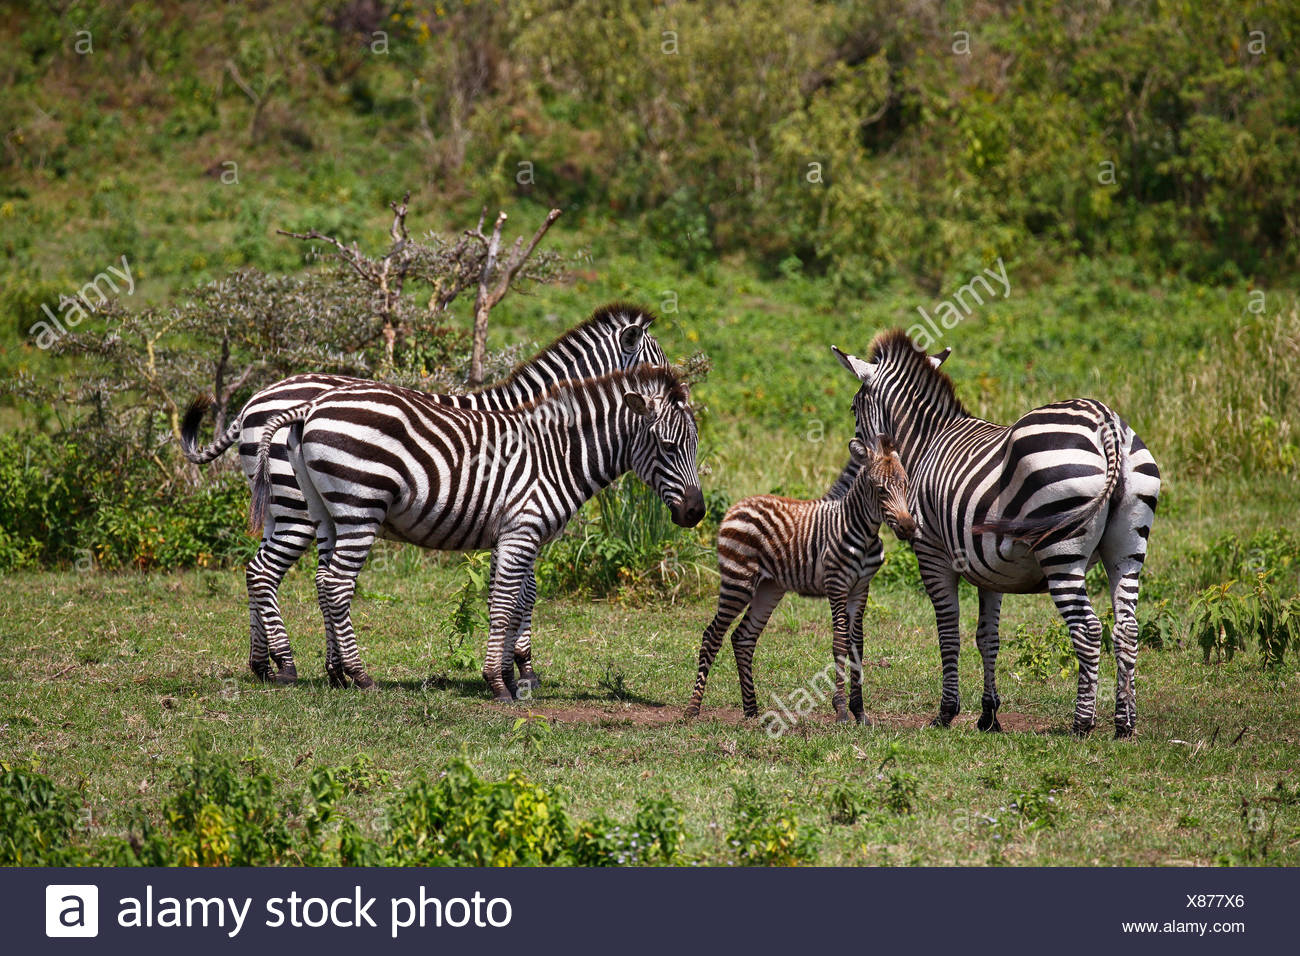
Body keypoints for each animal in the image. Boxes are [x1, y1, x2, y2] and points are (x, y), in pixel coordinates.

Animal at [180, 304, 665, 686]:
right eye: (656, 369)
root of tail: (253, 401)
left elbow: (515, 590)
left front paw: (514, 666)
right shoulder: (518, 512)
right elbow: (524, 592)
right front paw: (523, 668)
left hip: (283, 506)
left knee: (262, 571)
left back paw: (265, 664)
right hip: (299, 507)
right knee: (270, 573)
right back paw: (289, 664)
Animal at [249, 365, 705, 699]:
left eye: (695, 446)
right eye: (668, 446)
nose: (696, 512)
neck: (557, 455)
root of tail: (309, 408)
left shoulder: (515, 536)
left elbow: (517, 603)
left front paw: (515, 677)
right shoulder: (522, 531)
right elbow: (504, 605)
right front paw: (499, 683)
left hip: (323, 511)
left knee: (302, 577)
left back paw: (326, 673)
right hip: (358, 507)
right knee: (334, 583)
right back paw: (354, 675)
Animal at [685, 437, 915, 725]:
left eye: (905, 485)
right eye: (880, 490)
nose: (909, 528)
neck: (864, 533)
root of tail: (737, 506)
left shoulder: (860, 589)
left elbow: (857, 646)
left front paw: (860, 711)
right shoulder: (837, 584)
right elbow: (840, 642)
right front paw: (841, 710)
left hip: (769, 588)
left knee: (743, 637)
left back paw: (751, 711)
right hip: (738, 581)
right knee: (712, 636)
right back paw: (693, 709)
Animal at [832, 330, 1161, 737]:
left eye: (853, 408)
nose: (856, 460)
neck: (924, 443)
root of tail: (1108, 424)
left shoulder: (931, 553)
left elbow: (949, 634)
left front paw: (946, 713)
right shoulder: (990, 567)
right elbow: (987, 638)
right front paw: (988, 716)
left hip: (1061, 549)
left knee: (1088, 630)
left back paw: (1081, 724)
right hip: (1128, 546)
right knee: (1126, 630)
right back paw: (1124, 724)